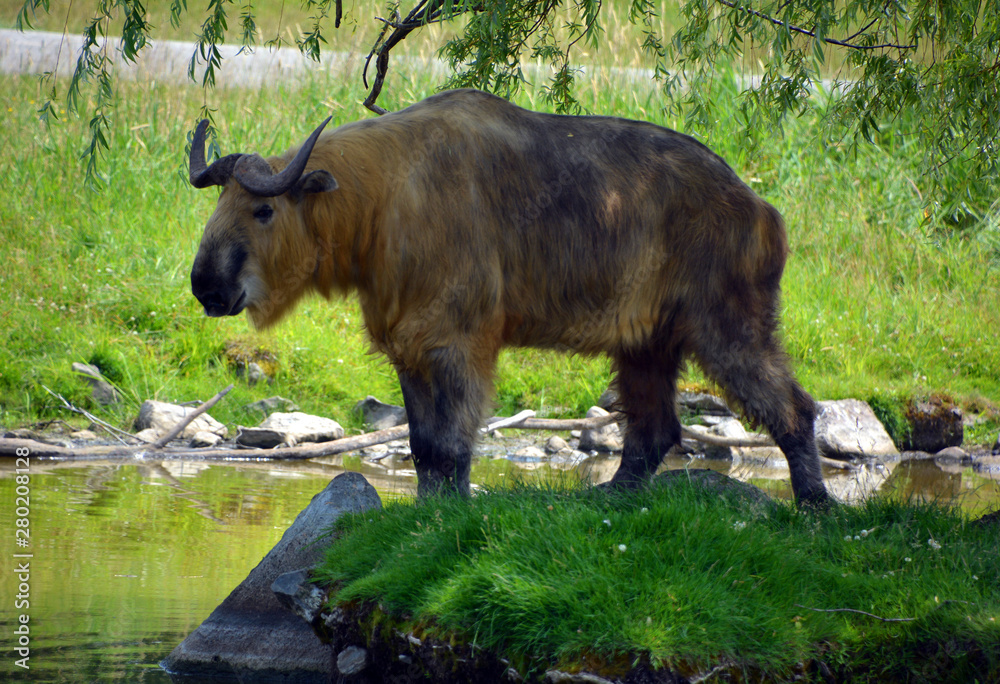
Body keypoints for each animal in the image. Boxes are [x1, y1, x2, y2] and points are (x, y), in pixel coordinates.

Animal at [188, 89, 830, 505]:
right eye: (219, 202)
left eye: (263, 210)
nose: (206, 287)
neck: (385, 197)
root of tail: (761, 209)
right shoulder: (410, 346)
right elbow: (421, 445)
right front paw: (426, 512)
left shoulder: (460, 344)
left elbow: (452, 445)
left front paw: (452, 515)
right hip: (647, 345)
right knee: (656, 431)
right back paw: (608, 501)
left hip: (729, 330)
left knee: (794, 410)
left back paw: (817, 509)